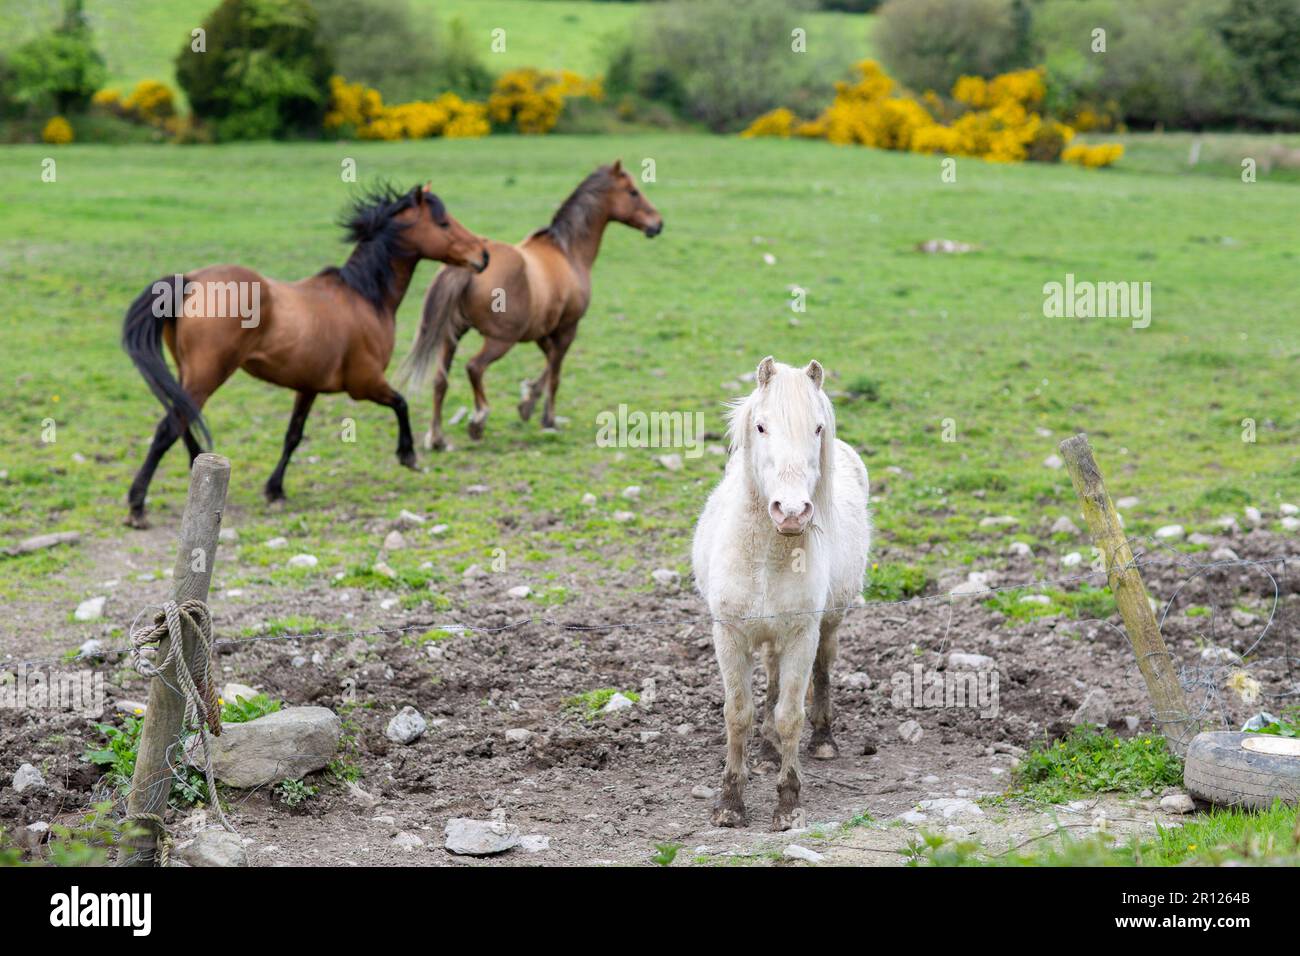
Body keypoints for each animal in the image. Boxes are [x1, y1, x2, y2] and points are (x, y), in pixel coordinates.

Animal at [121, 183, 489, 528]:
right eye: (443, 223)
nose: (483, 255)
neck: (364, 297)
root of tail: (192, 281)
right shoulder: (365, 384)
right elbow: (402, 403)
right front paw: (408, 454)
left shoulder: (308, 387)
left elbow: (293, 436)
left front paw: (275, 490)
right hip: (207, 375)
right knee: (168, 428)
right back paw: (137, 506)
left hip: (189, 374)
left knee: (181, 420)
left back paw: (196, 465)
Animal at [401, 160, 662, 449]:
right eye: (633, 192)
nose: (657, 223)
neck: (567, 251)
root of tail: (470, 266)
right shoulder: (567, 328)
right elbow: (556, 372)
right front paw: (547, 418)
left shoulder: (541, 331)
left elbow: (549, 361)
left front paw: (528, 401)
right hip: (500, 340)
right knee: (474, 367)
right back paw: (478, 420)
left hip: (452, 335)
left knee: (440, 380)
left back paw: (437, 438)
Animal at [691, 357, 871, 831]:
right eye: (761, 426)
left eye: (818, 427)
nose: (791, 513)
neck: (769, 554)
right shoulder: (730, 635)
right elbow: (739, 715)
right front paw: (730, 803)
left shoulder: (801, 634)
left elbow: (790, 715)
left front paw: (788, 805)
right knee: (769, 678)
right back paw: (768, 752)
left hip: (829, 623)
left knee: (822, 670)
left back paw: (823, 740)